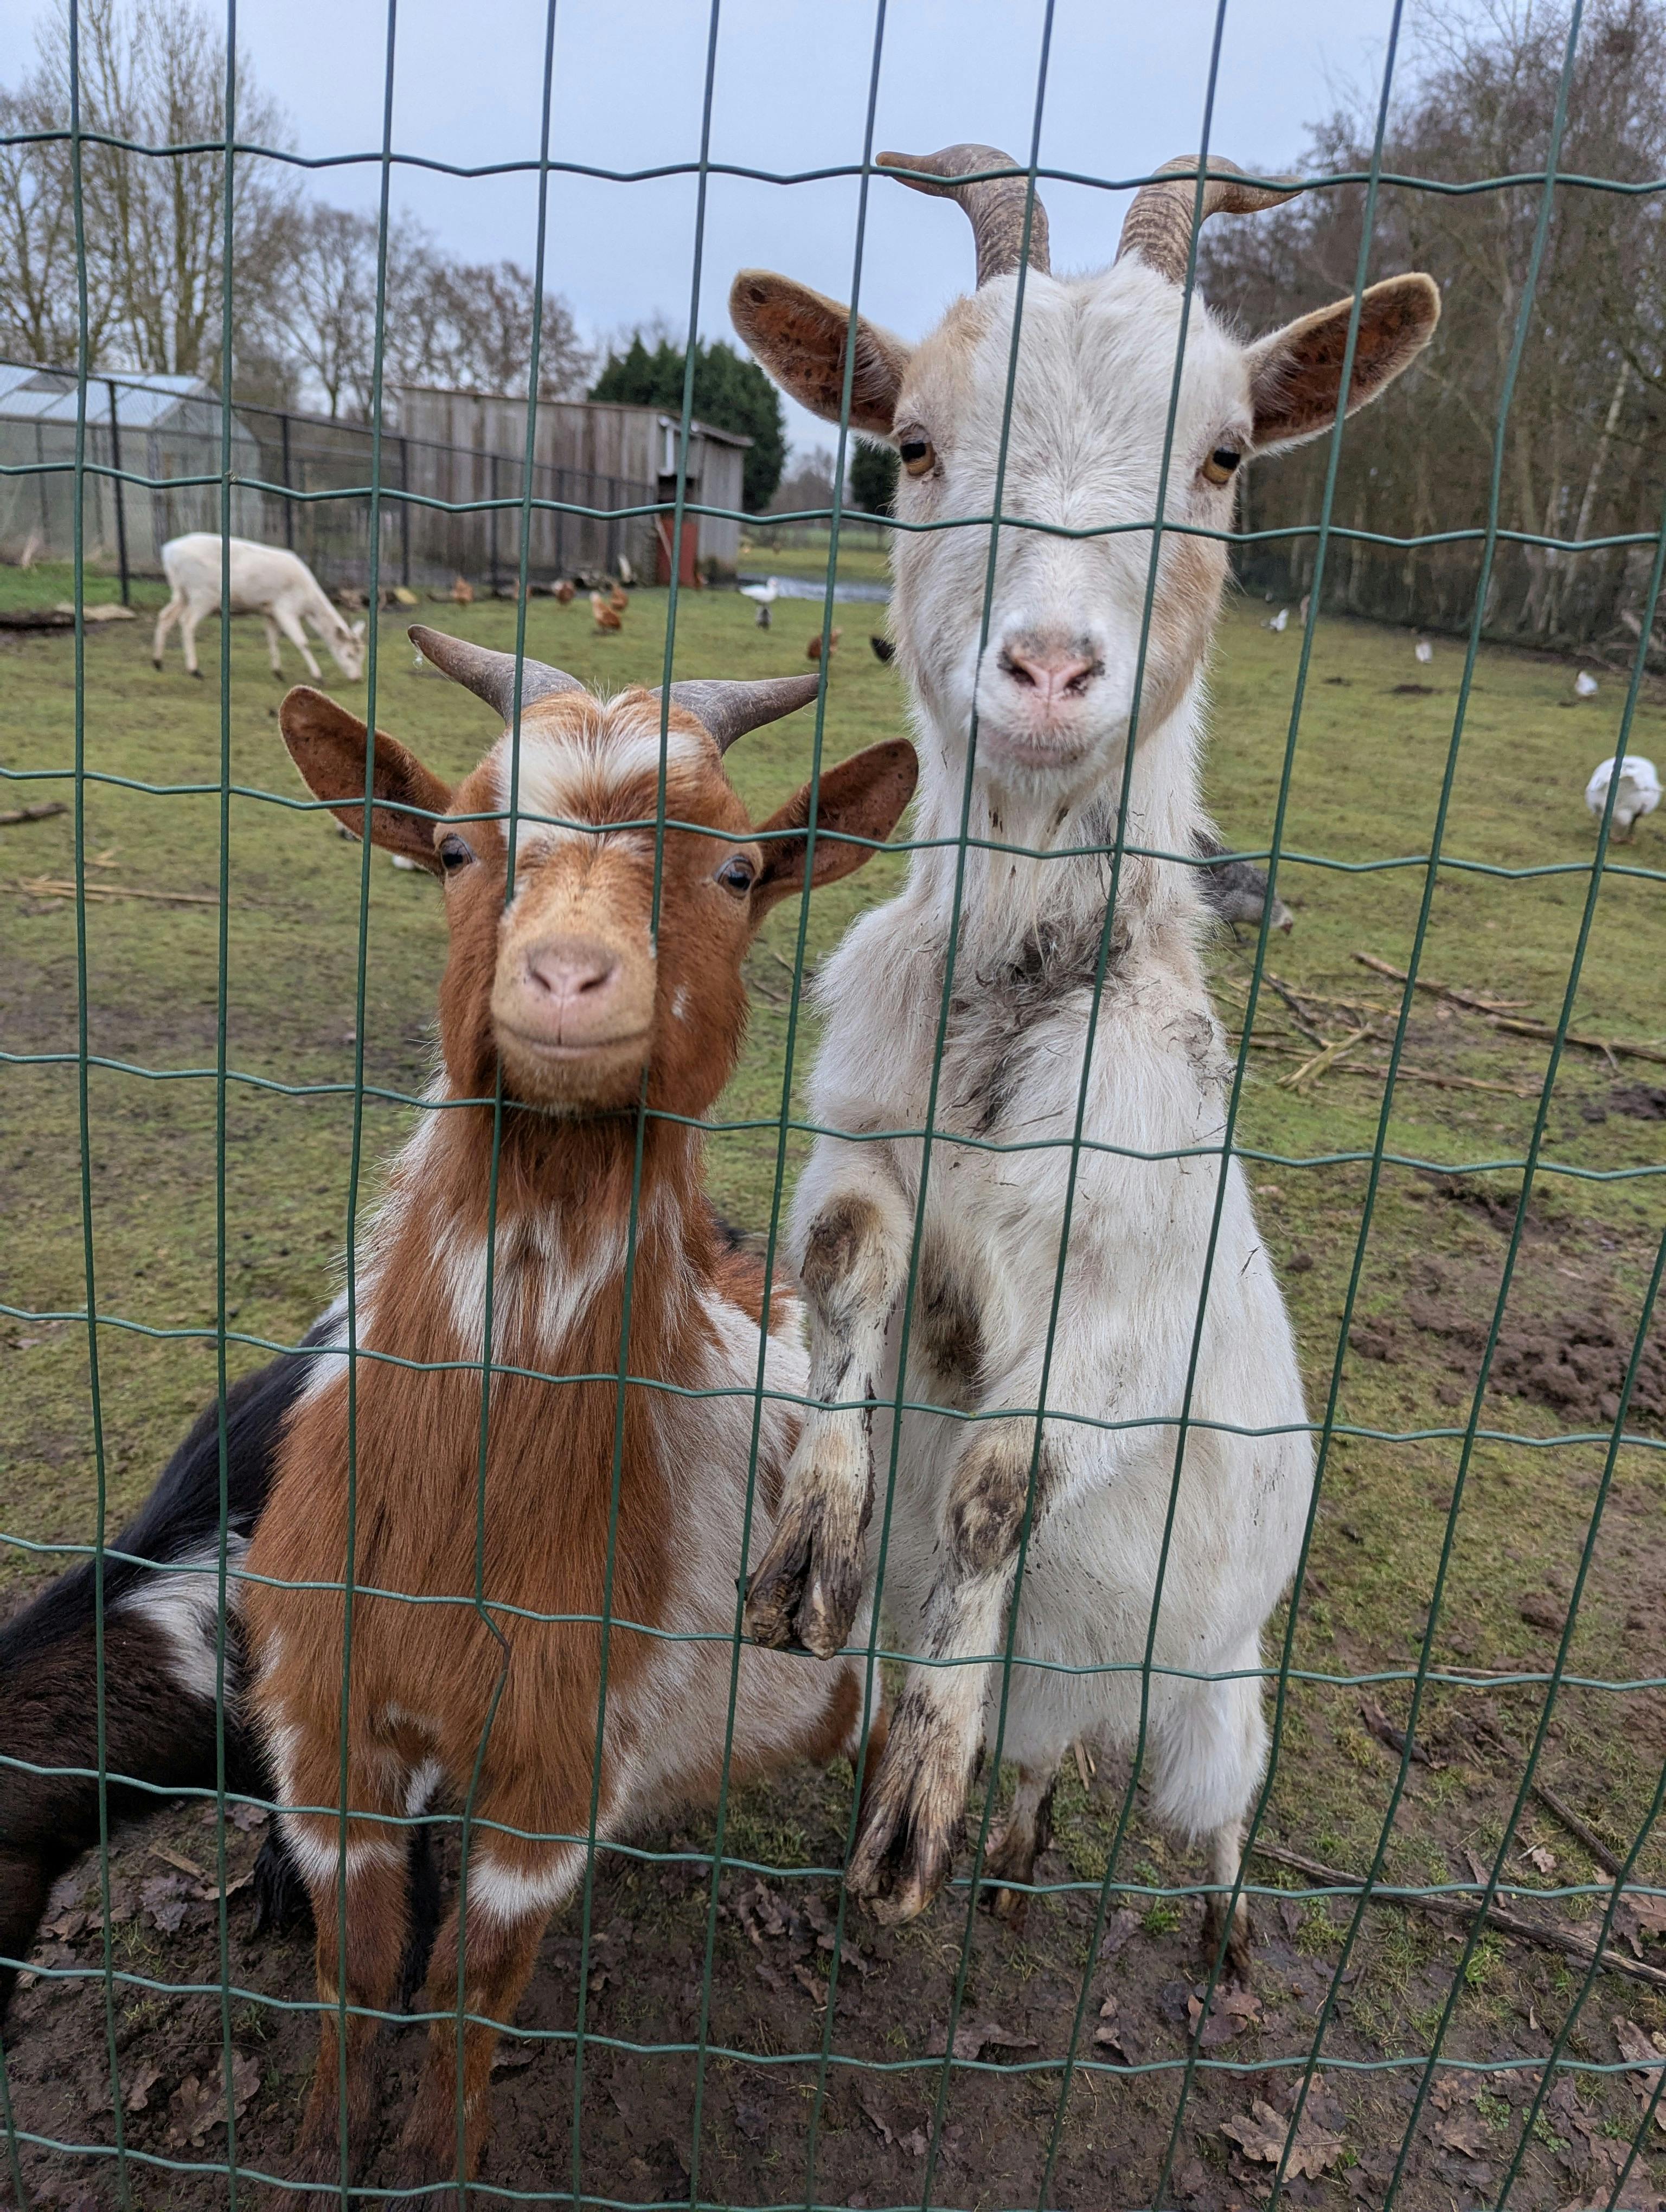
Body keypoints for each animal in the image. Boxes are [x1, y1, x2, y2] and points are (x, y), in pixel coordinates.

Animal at [152, 534, 366, 683]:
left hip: (181, 592)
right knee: (187, 621)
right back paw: (194, 670)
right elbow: (302, 642)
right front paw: (318, 676)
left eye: (362, 654)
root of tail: (167, 552)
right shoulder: (285, 608)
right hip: (203, 593)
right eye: (349, 654)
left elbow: (273, 639)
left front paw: (278, 672)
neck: (307, 603)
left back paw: (158, 662)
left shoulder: (269, 610)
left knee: (165, 616)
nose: (357, 678)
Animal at [242, 630, 914, 2195]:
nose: (563, 976)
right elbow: (357, 1967)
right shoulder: (320, 1707)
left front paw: (435, 2167)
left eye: (737, 869)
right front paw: (315, 2155)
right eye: (452, 846)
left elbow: (468, 1998)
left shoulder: (562, 1761)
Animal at [730, 146, 1438, 1958]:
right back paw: (1020, 1832)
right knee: (1053, 1762)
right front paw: (813, 1558)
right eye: (912, 441)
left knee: (1218, 1804)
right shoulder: (862, 1133)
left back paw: (1218, 1934)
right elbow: (843, 1270)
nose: (1050, 670)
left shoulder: (1122, 1299)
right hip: (1085, 1711)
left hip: (1221, 1691)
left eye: (1225, 455)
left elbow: (999, 1481)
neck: (1017, 999)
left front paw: (908, 1817)